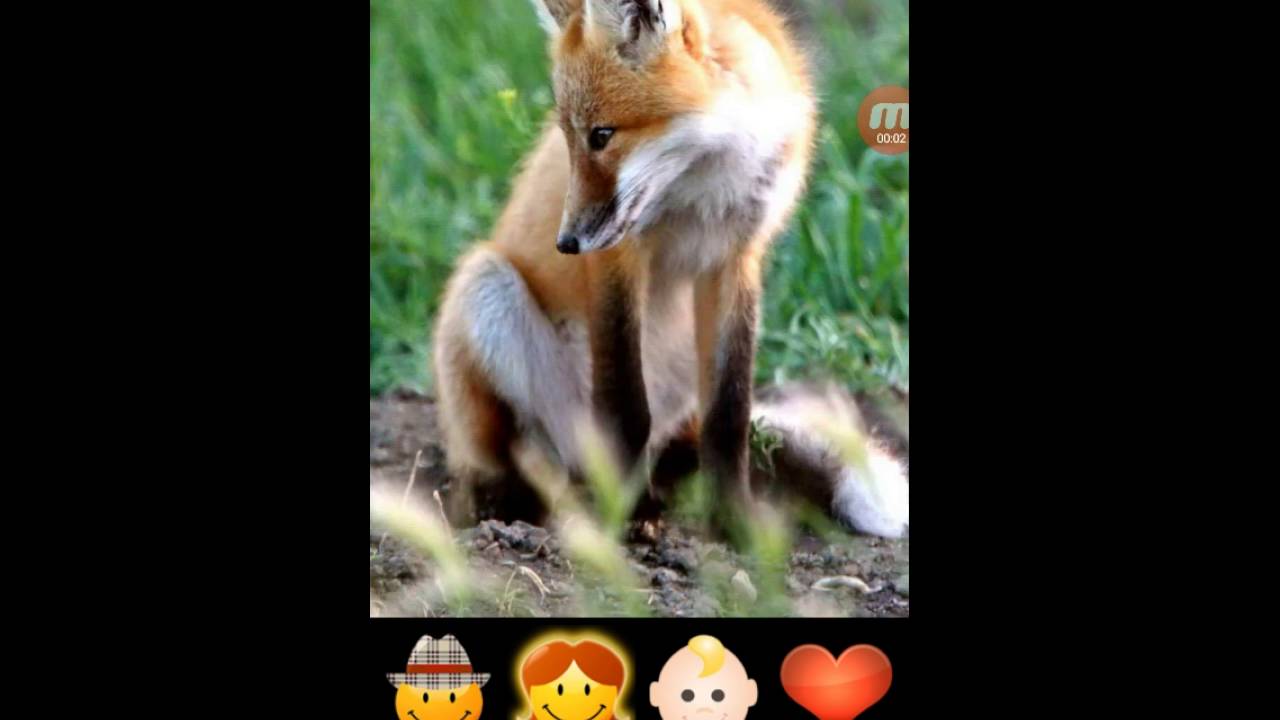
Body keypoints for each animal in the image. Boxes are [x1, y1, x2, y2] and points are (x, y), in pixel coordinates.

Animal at [431, 0, 908, 538]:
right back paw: (511, 508)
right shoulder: (619, 254)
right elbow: (624, 407)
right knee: (512, 460)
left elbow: (728, 414)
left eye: (602, 135)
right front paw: (624, 520)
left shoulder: (736, 258)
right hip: (486, 287)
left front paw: (733, 524)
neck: (706, 185)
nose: (567, 243)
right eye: (568, 136)